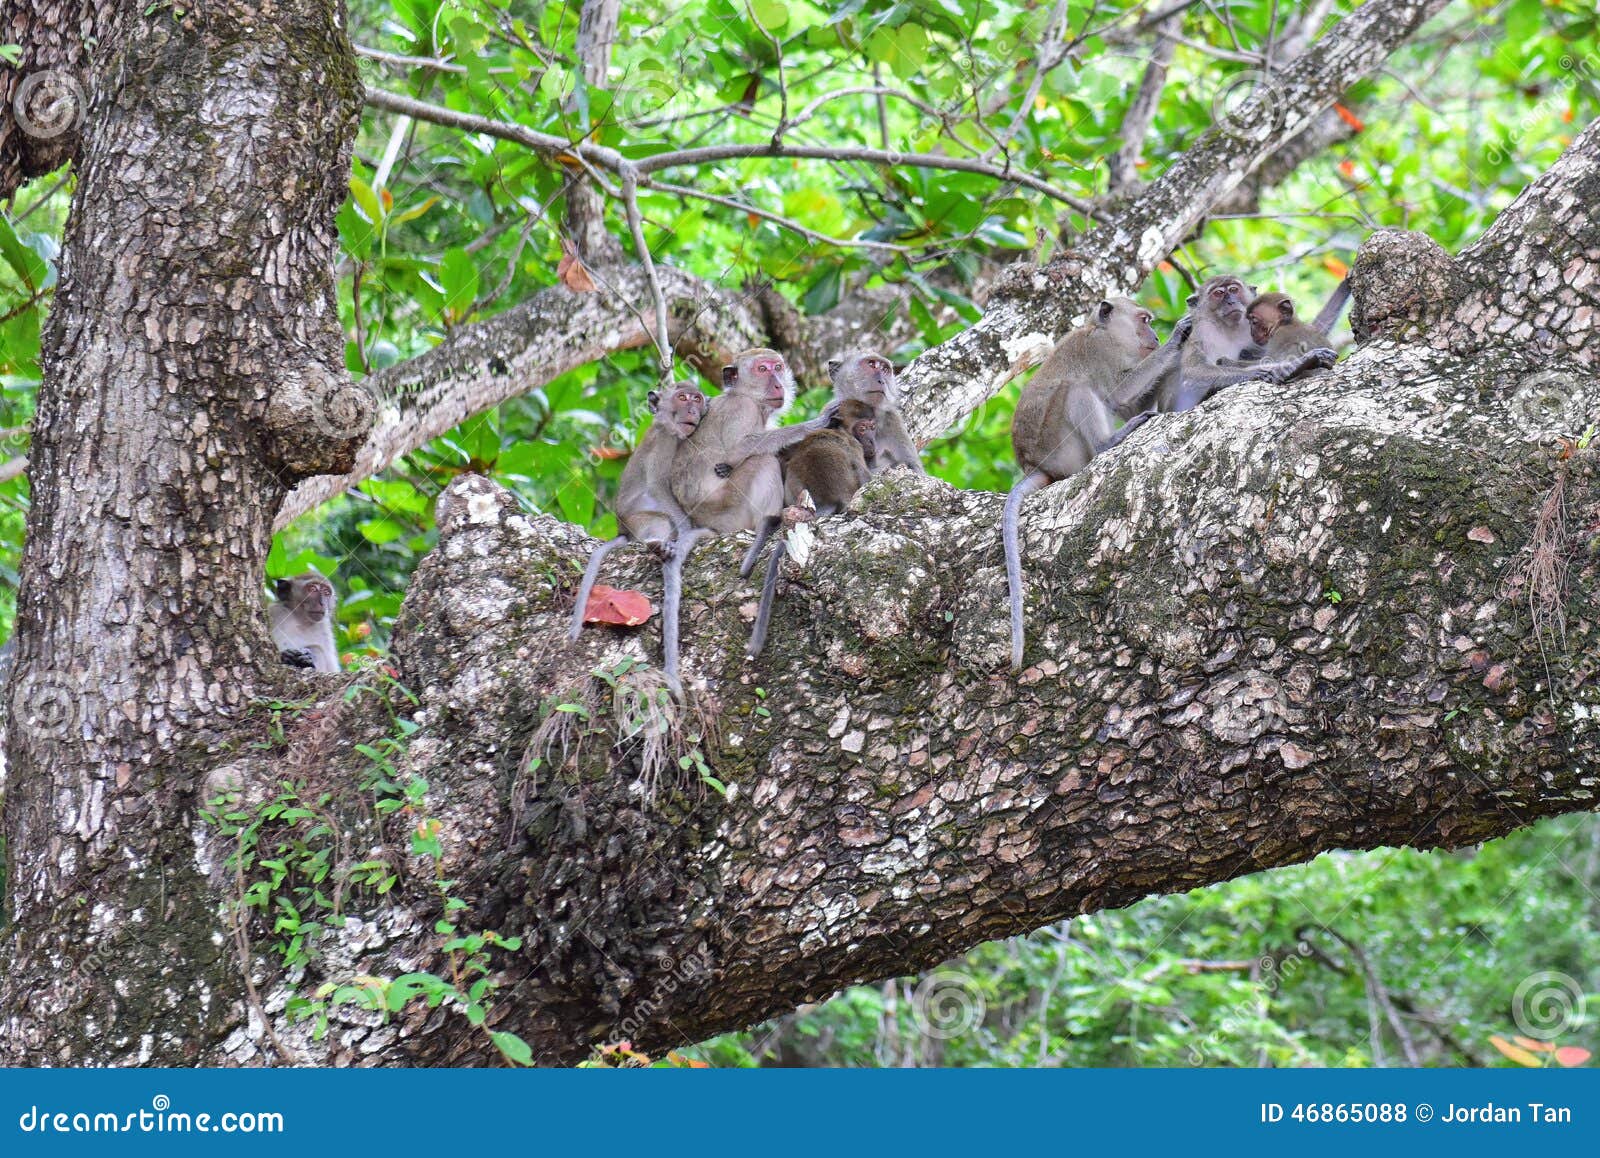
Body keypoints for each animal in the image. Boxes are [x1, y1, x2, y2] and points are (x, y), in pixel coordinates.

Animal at [744, 407, 880, 658]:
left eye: (872, 428)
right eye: (864, 429)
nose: (871, 440)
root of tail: (827, 500)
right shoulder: (853, 446)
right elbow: (865, 476)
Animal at [1006, 297, 1161, 673]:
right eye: (1144, 319)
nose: (1156, 335)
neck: (1102, 332)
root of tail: (1034, 465)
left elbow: (1124, 399)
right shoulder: (1100, 353)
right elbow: (1119, 393)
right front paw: (1184, 333)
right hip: (1060, 445)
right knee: (1075, 390)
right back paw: (1108, 443)